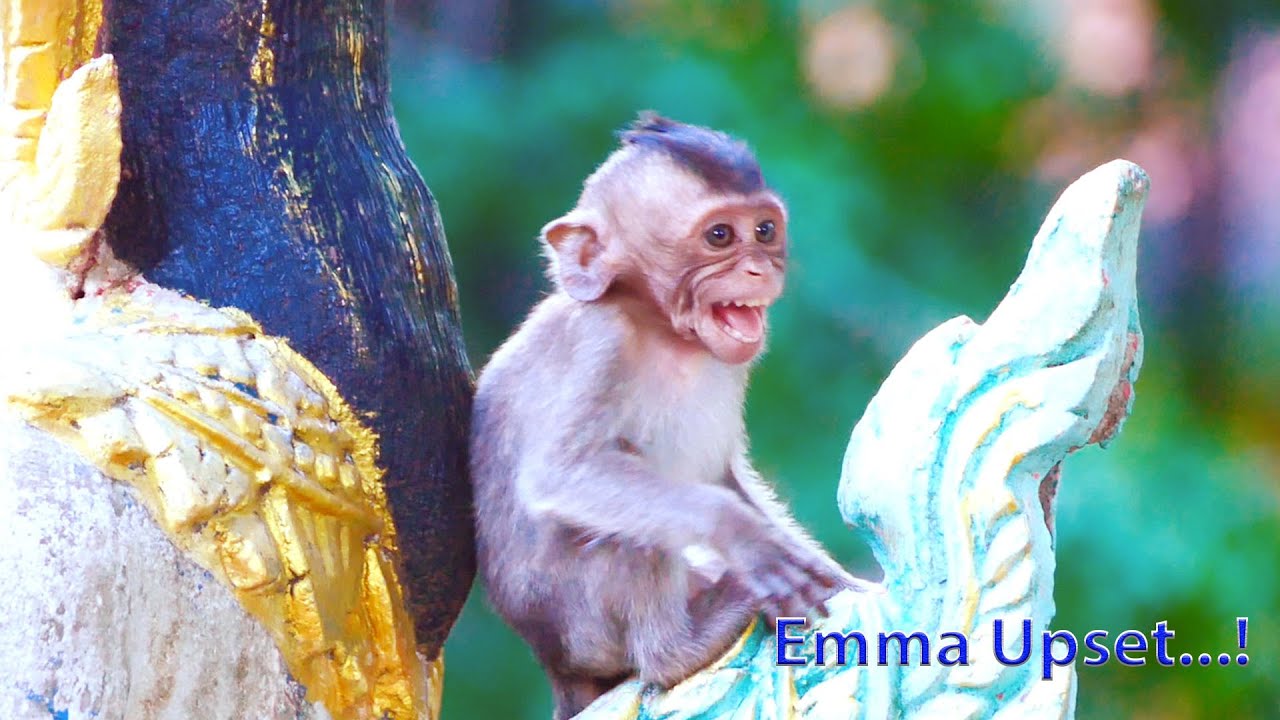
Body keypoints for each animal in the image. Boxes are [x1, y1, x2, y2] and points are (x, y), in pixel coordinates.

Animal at [470, 113, 860, 719]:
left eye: (764, 230)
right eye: (719, 236)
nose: (759, 268)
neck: (659, 327)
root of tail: (557, 666)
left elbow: (722, 474)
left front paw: (835, 577)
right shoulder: (600, 342)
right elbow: (560, 473)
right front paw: (743, 536)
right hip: (585, 627)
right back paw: (681, 648)